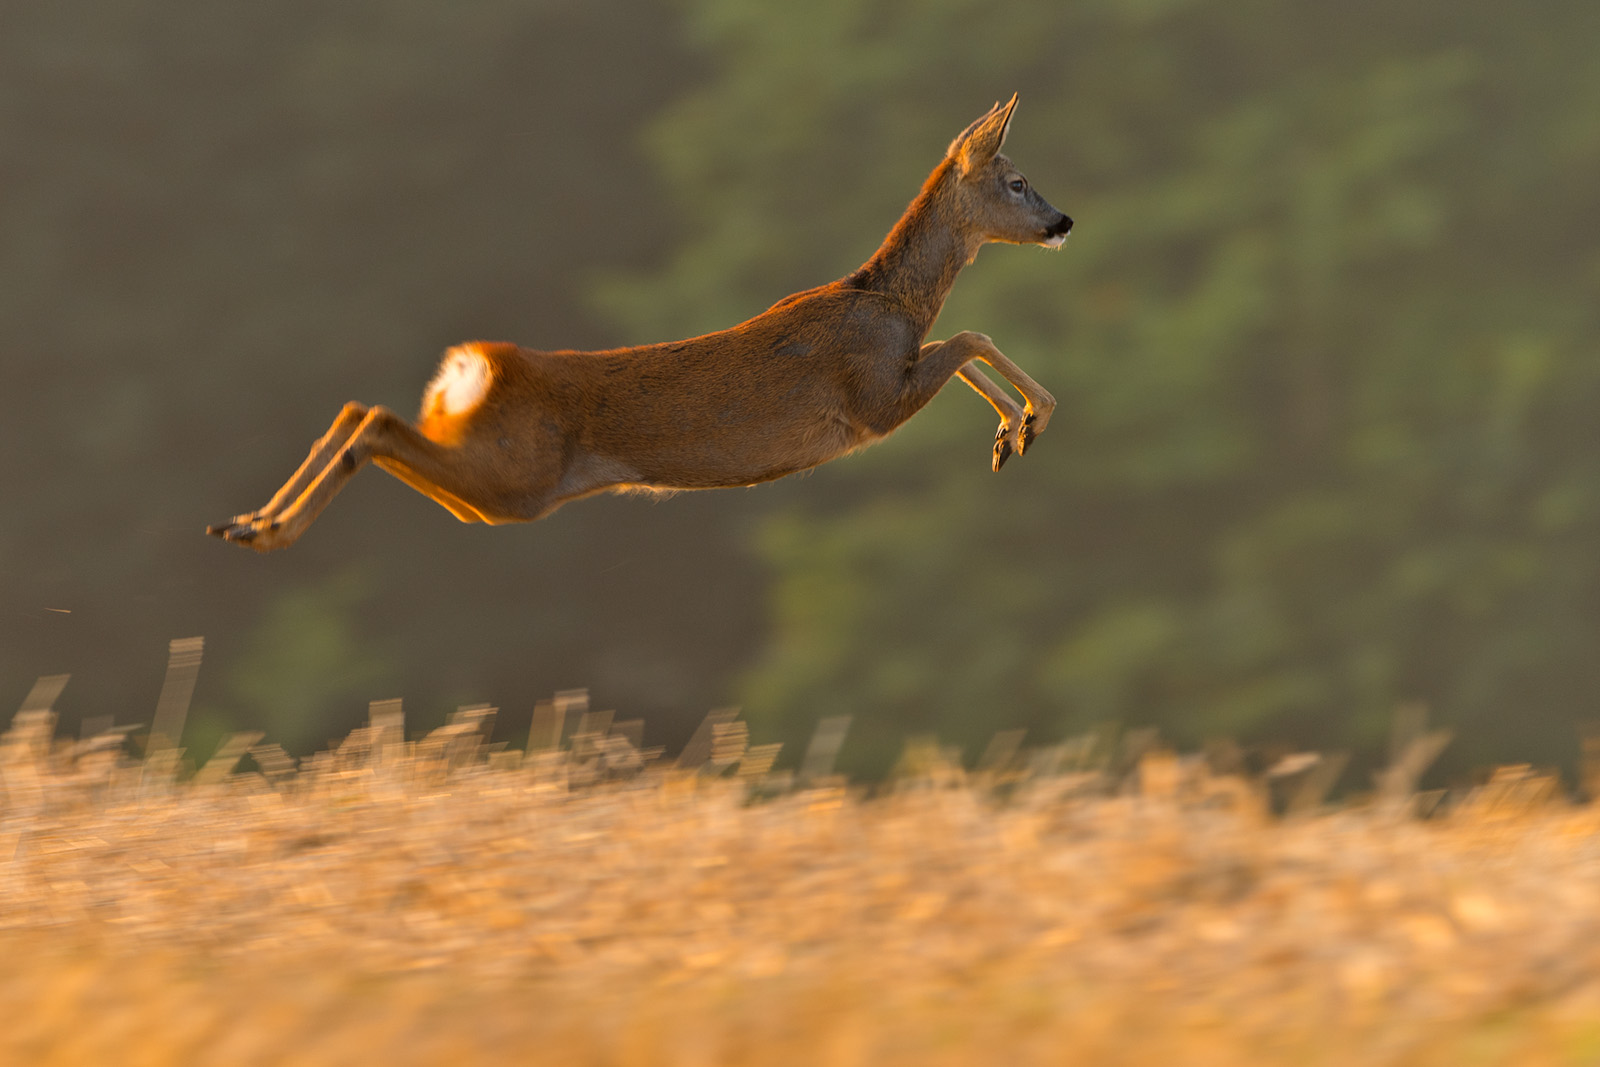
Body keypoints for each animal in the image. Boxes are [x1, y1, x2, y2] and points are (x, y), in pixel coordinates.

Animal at [208, 94, 1071, 552]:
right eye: (1018, 181)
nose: (1063, 221)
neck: (891, 302)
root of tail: (475, 364)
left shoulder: (889, 383)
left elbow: (966, 343)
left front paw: (1011, 432)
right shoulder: (870, 399)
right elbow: (969, 337)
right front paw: (1029, 421)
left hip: (491, 484)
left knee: (363, 409)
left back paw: (247, 522)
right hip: (516, 479)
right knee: (378, 421)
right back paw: (264, 530)